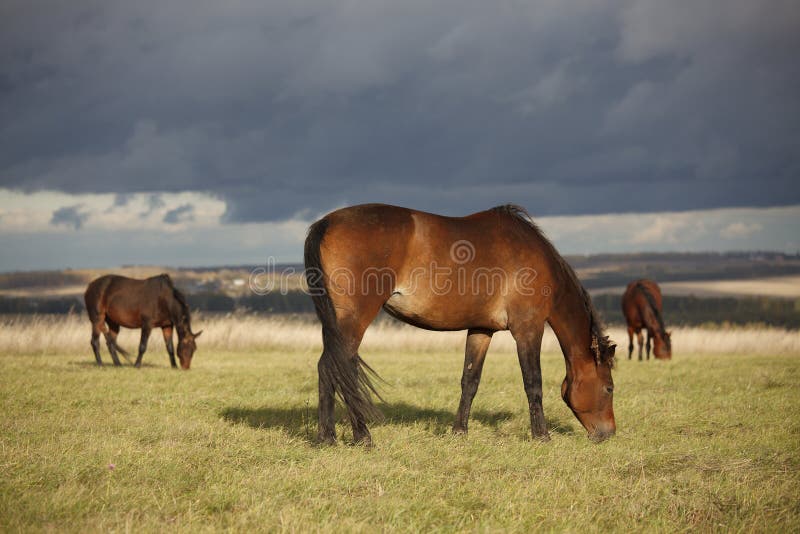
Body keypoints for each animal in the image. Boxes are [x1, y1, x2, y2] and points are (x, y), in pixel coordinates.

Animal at [304, 204, 616, 446]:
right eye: (609, 388)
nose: (608, 433)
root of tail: (326, 223)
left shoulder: (481, 330)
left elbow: (470, 381)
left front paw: (459, 432)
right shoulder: (528, 330)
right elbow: (533, 382)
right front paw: (542, 436)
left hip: (333, 325)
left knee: (326, 367)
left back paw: (326, 438)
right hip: (354, 320)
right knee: (340, 367)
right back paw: (362, 437)